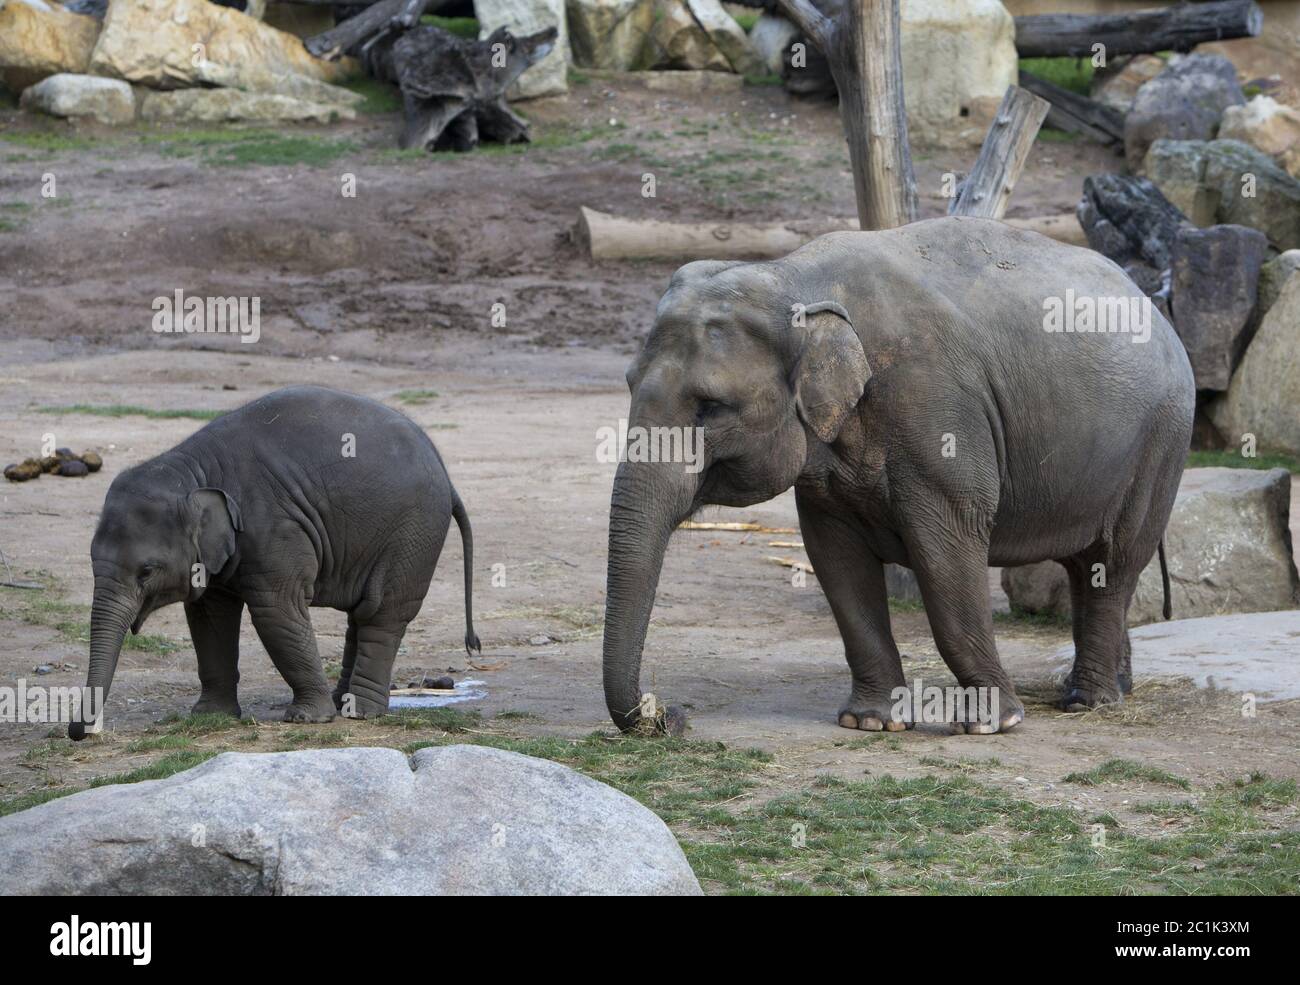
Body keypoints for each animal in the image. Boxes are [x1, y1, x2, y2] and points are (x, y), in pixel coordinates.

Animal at [68, 385, 479, 740]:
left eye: (146, 571)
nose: (76, 731)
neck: (193, 471)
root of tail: (447, 476)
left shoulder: (274, 529)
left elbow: (276, 612)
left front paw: (306, 719)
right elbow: (208, 619)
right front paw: (210, 716)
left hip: (413, 533)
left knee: (383, 613)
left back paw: (359, 712)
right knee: (360, 615)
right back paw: (341, 701)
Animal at [601, 216, 1195, 736]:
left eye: (710, 407)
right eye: (627, 382)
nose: (668, 713)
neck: (793, 278)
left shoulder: (938, 412)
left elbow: (947, 552)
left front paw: (990, 723)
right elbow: (836, 561)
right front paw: (869, 721)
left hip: (1162, 442)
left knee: (1113, 564)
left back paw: (1090, 702)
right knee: (1086, 570)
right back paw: (1112, 687)